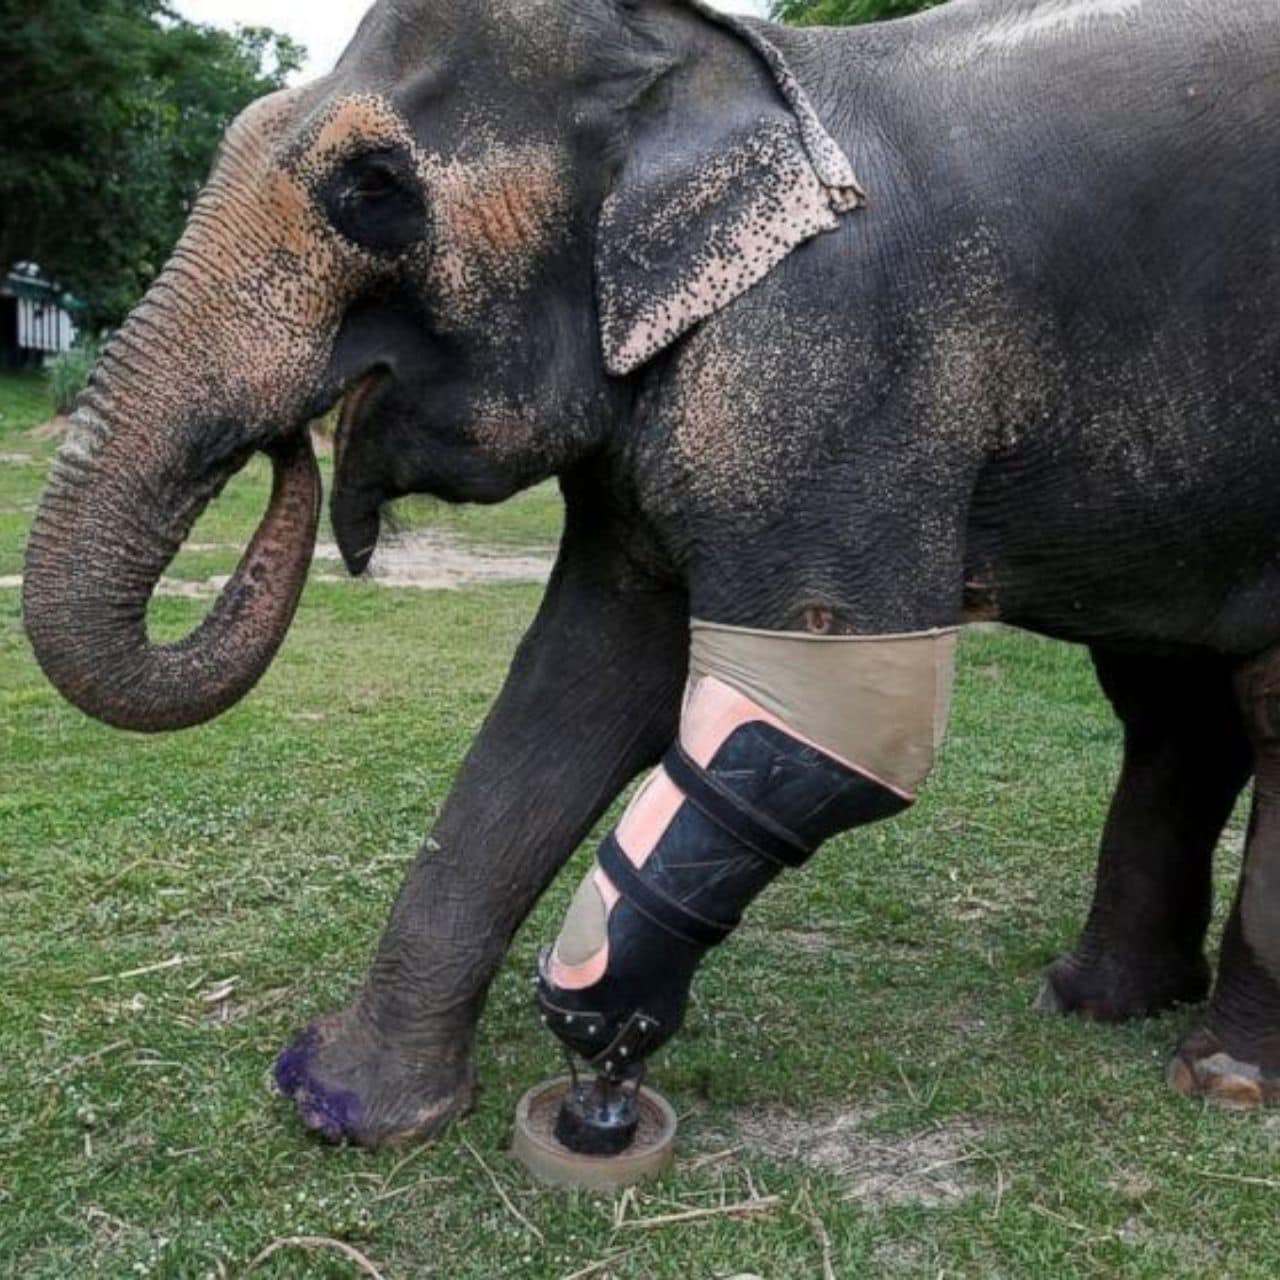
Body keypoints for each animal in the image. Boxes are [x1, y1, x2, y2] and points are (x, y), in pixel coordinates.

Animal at [22, 0, 1280, 1147]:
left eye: (370, 188)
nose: (295, 443)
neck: (721, 65)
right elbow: (581, 684)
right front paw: (348, 1105)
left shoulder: (831, 362)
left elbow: (839, 721)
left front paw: (600, 1017)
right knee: (1173, 701)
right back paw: (1096, 1001)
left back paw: (1220, 1073)